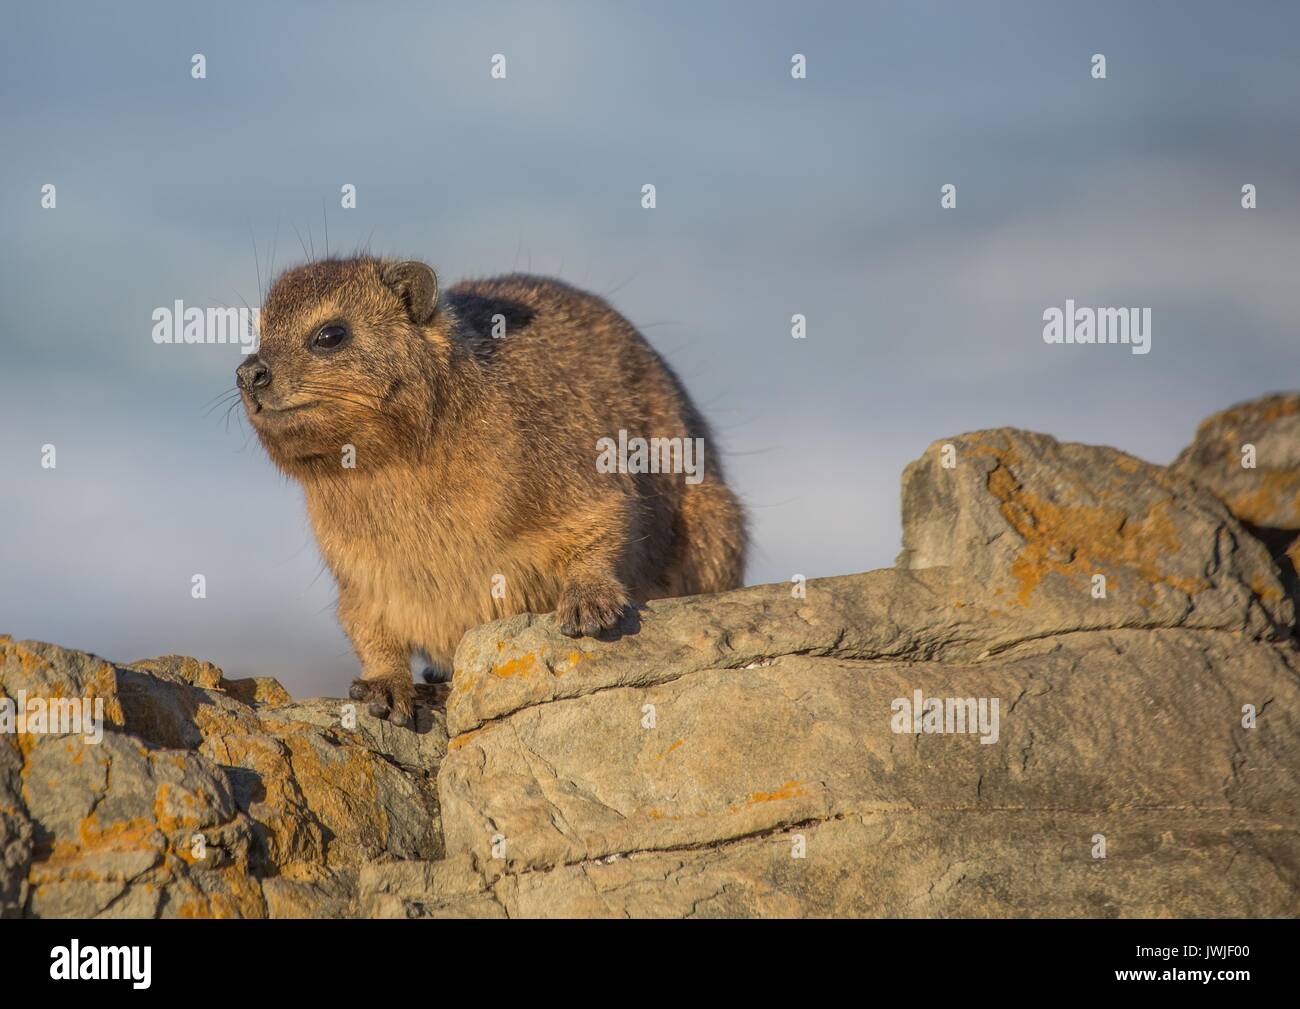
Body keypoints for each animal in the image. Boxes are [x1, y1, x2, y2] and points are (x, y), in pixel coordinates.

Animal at [238, 257, 746, 726]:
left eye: (330, 335)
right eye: (258, 332)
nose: (249, 373)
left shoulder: (578, 471)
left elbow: (606, 523)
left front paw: (588, 603)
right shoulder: (359, 572)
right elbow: (365, 623)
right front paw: (385, 686)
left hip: (715, 520)